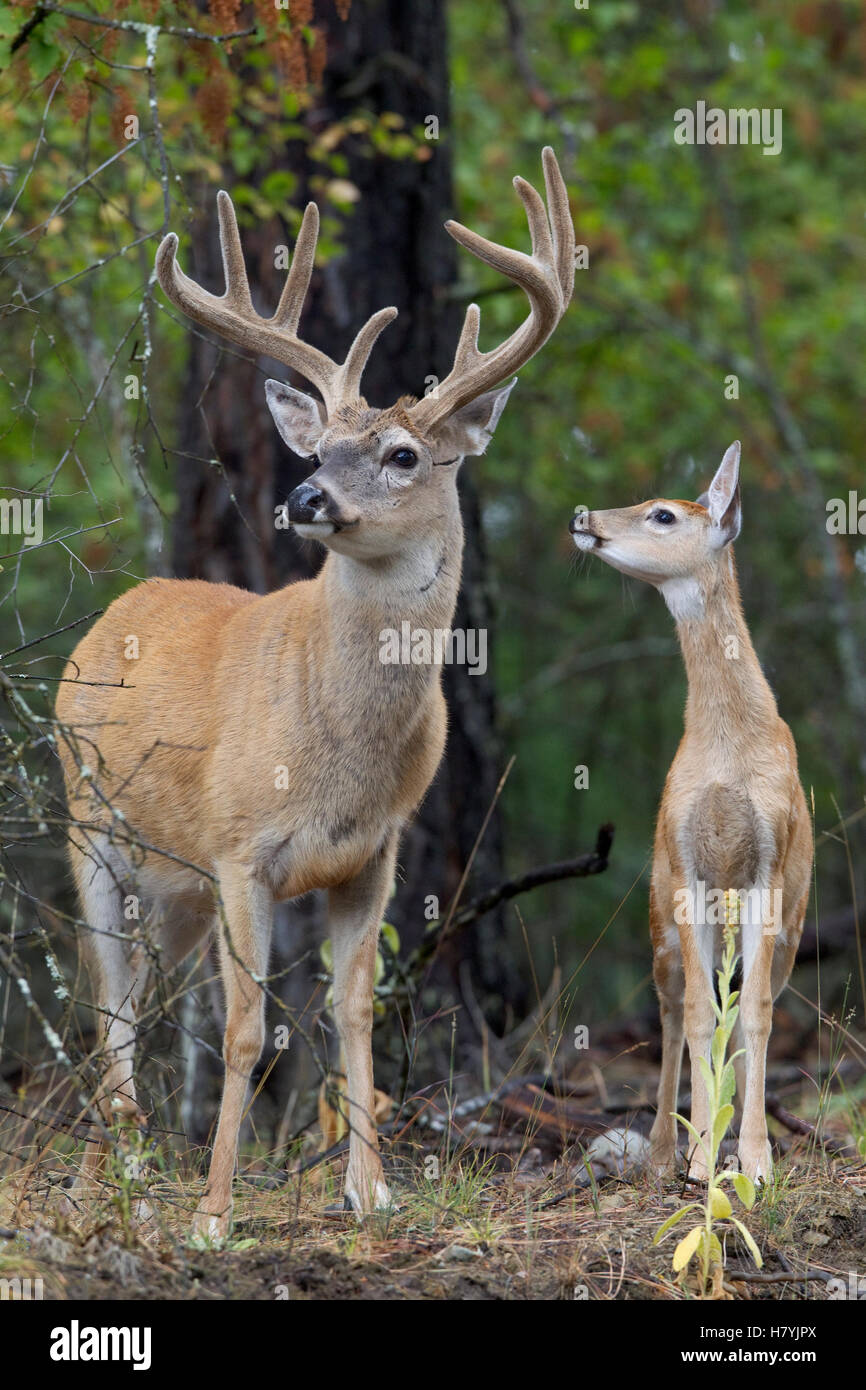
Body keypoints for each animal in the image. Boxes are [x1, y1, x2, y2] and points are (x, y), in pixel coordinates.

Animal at [55, 148, 574, 1238]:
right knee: (109, 1003)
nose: (303, 497)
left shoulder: (371, 857)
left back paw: (122, 1165)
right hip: (90, 827)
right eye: (316, 448)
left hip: (170, 887)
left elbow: (350, 1012)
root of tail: (113, 610)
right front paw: (214, 1214)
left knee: (149, 1005)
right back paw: (128, 1182)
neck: (337, 745)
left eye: (403, 454)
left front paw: (369, 1190)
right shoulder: (237, 846)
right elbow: (250, 1033)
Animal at [570, 442, 812, 1182]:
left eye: (664, 514)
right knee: (674, 1012)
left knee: (749, 1005)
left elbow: (755, 1015)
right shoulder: (685, 866)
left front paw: (755, 1160)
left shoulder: (767, 866)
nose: (583, 516)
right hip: (658, 918)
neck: (728, 747)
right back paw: (661, 1151)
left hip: (791, 922)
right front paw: (704, 1159)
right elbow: (702, 1017)